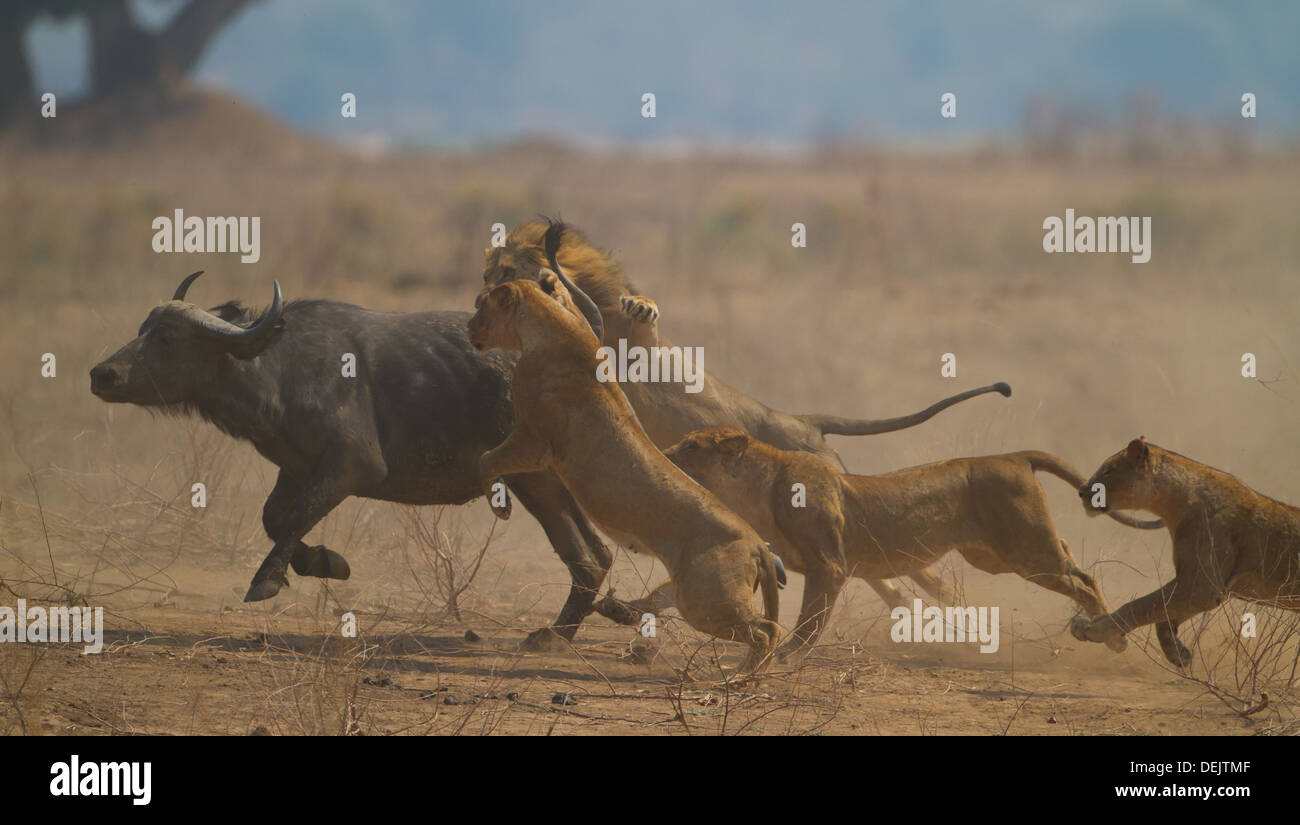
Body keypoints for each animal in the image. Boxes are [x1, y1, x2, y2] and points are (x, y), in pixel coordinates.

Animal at [467, 276, 785, 673]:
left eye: (481, 306)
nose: (468, 327)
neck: (551, 327)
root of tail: (757, 543)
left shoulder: (533, 440)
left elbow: (485, 460)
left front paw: (501, 506)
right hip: (698, 589)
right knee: (754, 624)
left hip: (706, 598)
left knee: (766, 631)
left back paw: (739, 677)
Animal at [481, 218, 1012, 609]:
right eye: (490, 275)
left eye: (503, 270)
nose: (482, 292)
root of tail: (805, 420)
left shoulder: (640, 351)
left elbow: (638, 323)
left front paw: (637, 304)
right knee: (879, 570)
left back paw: (941, 597)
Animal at [600, 426, 1162, 660]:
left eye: (689, 447)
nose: (661, 454)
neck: (757, 489)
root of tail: (1012, 455)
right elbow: (666, 594)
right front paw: (622, 609)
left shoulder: (830, 566)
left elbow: (809, 621)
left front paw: (789, 655)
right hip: (997, 555)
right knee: (1071, 558)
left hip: (1025, 553)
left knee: (1083, 578)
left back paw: (1111, 637)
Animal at [1070, 438, 1300, 667]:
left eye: (1109, 471)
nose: (1081, 492)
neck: (1174, 504)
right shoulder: (1195, 585)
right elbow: (1162, 615)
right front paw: (1177, 653)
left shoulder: (1201, 587)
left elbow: (1140, 606)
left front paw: (1096, 629)